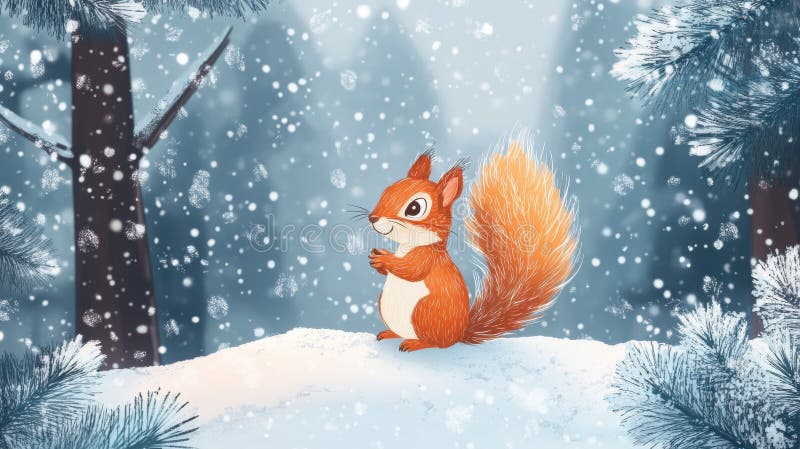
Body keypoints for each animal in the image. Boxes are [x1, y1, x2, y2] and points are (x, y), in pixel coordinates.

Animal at [367, 139, 578, 352]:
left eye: (414, 208)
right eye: (387, 190)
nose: (372, 218)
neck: (407, 246)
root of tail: (459, 334)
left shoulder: (427, 259)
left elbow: (411, 269)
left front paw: (384, 258)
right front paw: (377, 261)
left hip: (426, 312)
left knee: (438, 344)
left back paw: (415, 343)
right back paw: (390, 333)